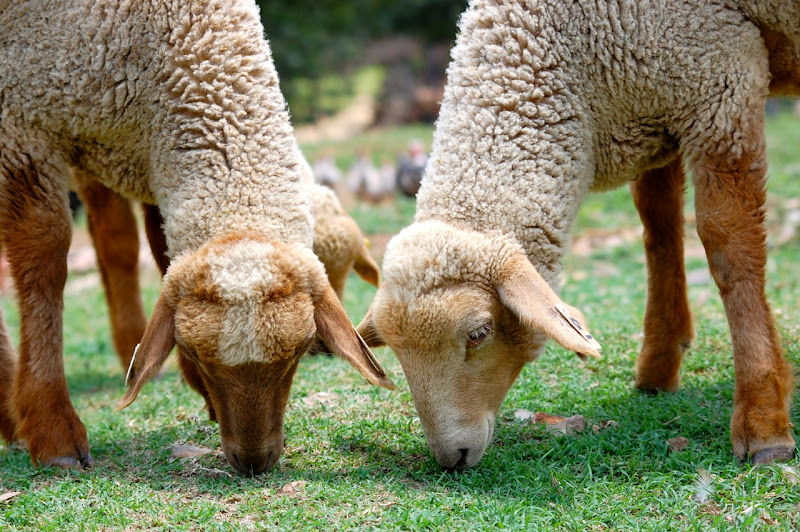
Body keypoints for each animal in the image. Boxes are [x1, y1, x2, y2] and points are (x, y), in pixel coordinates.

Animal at [0, 0, 393, 475]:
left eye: (296, 355)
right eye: (198, 354)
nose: (253, 462)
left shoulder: (145, 152)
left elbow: (154, 246)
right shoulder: (20, 124)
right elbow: (45, 259)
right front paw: (53, 429)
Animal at [357, 0, 800, 469]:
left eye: (479, 333)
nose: (451, 457)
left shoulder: (721, 76)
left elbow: (728, 241)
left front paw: (764, 421)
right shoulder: (656, 99)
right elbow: (658, 222)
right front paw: (658, 367)